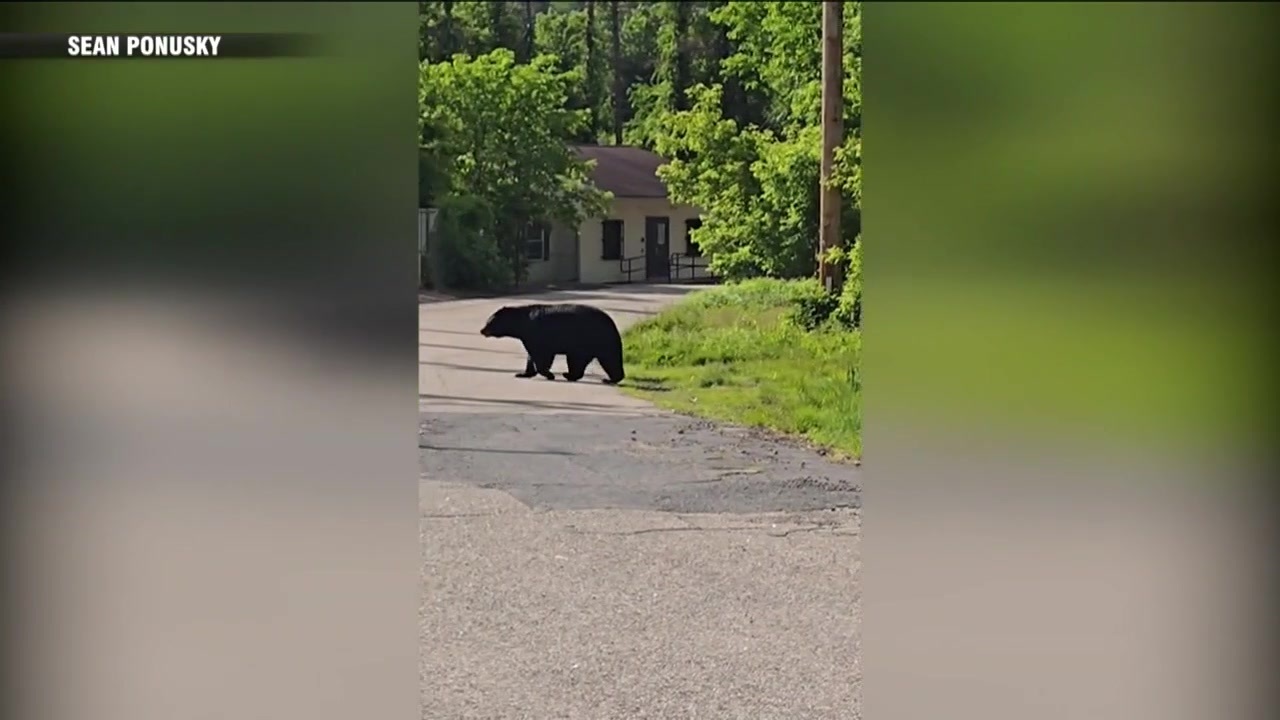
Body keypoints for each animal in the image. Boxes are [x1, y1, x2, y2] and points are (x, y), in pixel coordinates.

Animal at [479, 303, 626, 384]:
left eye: (489, 321)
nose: (482, 330)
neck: (522, 323)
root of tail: (612, 325)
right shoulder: (530, 337)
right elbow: (531, 356)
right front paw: (522, 373)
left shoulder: (537, 334)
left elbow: (541, 356)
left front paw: (549, 374)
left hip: (593, 339)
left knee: (600, 359)